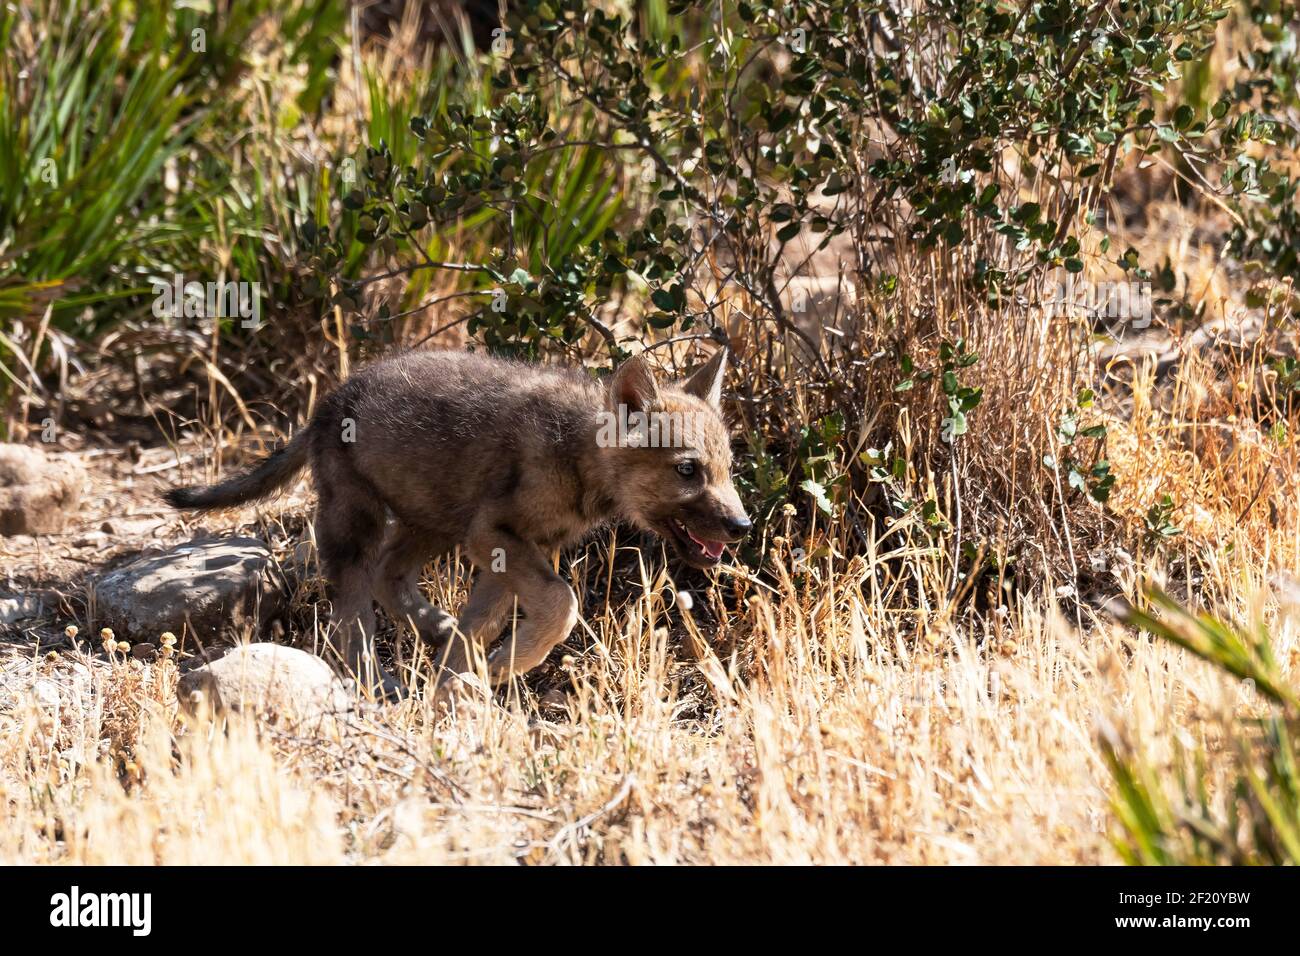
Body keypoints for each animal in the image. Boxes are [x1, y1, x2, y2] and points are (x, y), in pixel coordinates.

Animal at [164, 348, 751, 695]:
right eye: (688, 470)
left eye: (728, 468)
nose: (742, 526)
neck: (578, 451)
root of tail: (326, 404)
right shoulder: (494, 535)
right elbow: (562, 605)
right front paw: (497, 669)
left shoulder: (509, 549)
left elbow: (482, 623)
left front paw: (458, 677)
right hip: (362, 522)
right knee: (351, 609)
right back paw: (373, 679)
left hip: (432, 521)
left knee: (388, 574)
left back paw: (432, 628)